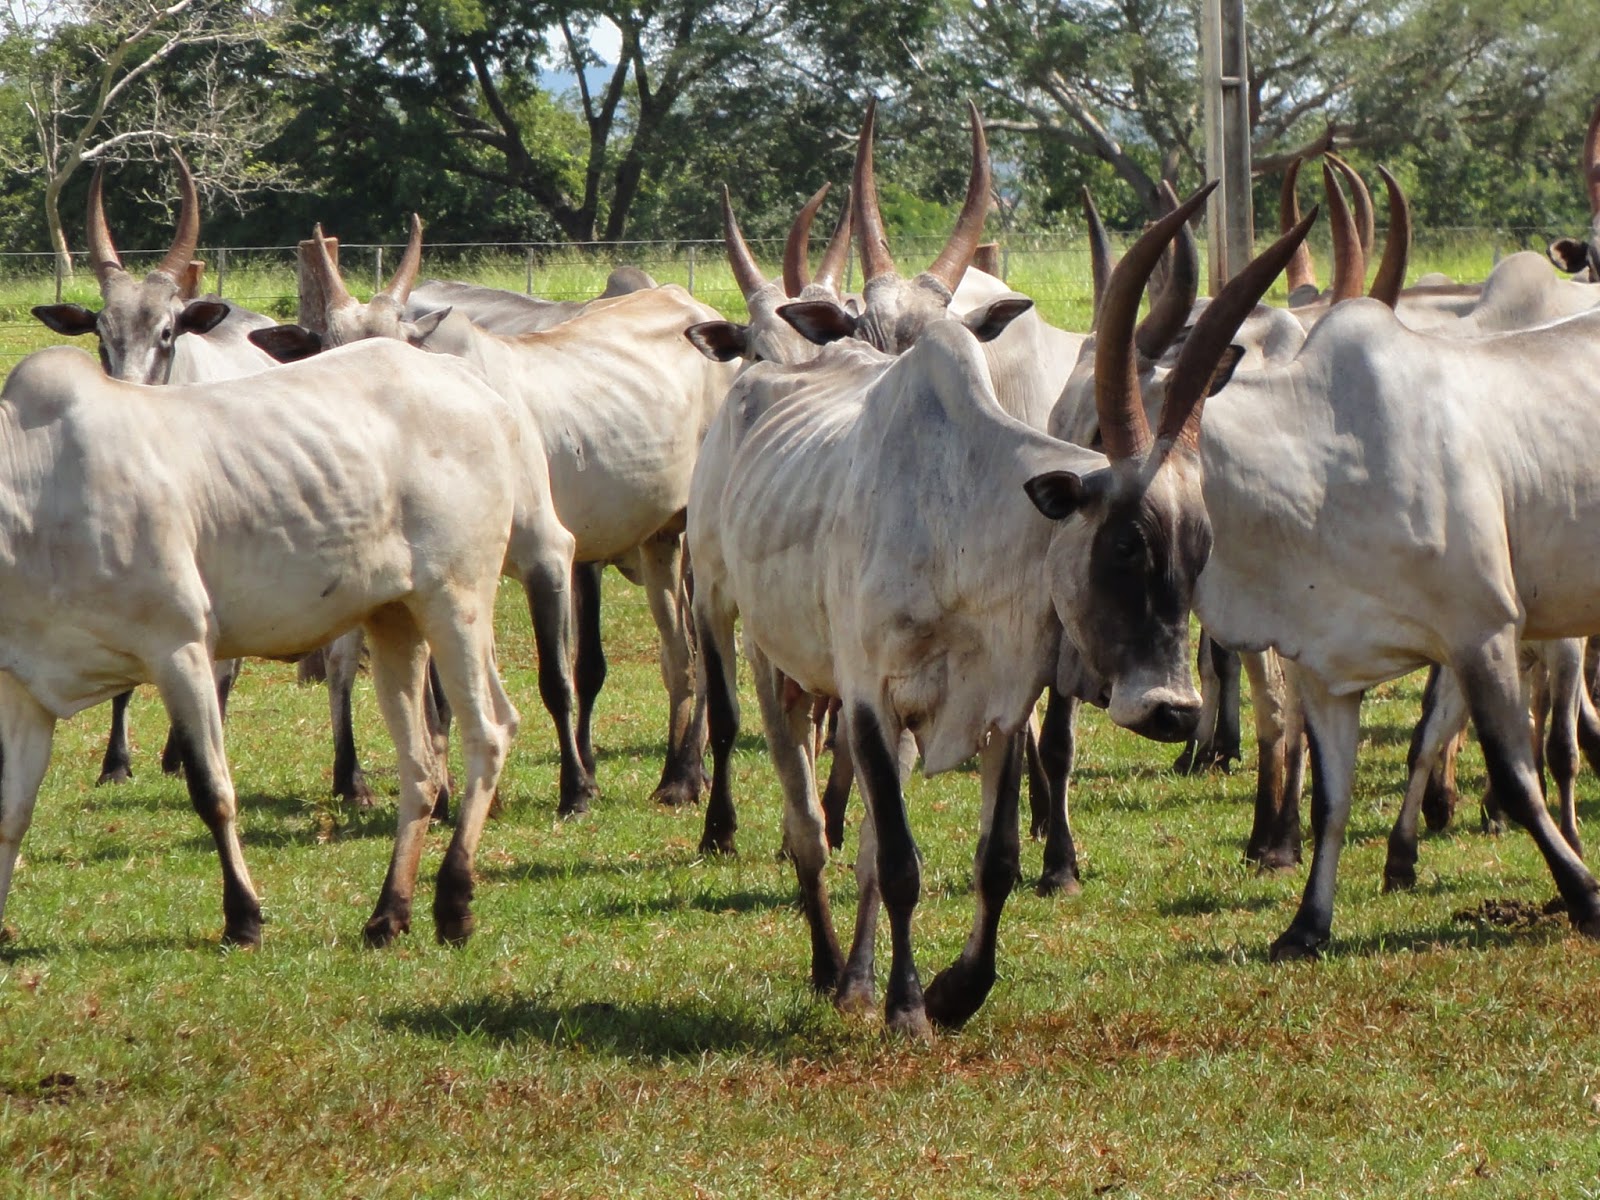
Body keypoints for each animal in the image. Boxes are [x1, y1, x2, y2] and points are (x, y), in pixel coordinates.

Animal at [0, 338, 533, 950]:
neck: (36, 487)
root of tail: (474, 387)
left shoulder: (180, 649)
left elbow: (212, 791)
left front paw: (244, 917)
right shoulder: (24, 685)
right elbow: (11, 812)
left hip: (456, 598)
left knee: (488, 731)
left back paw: (454, 901)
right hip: (394, 618)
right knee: (419, 767)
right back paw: (388, 913)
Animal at [252, 219, 737, 816]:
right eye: (326, 353)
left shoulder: (551, 553)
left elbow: (558, 679)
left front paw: (576, 789)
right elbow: (443, 698)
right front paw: (453, 798)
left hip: (696, 536)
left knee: (704, 654)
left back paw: (687, 777)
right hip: (660, 537)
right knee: (679, 656)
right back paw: (675, 774)